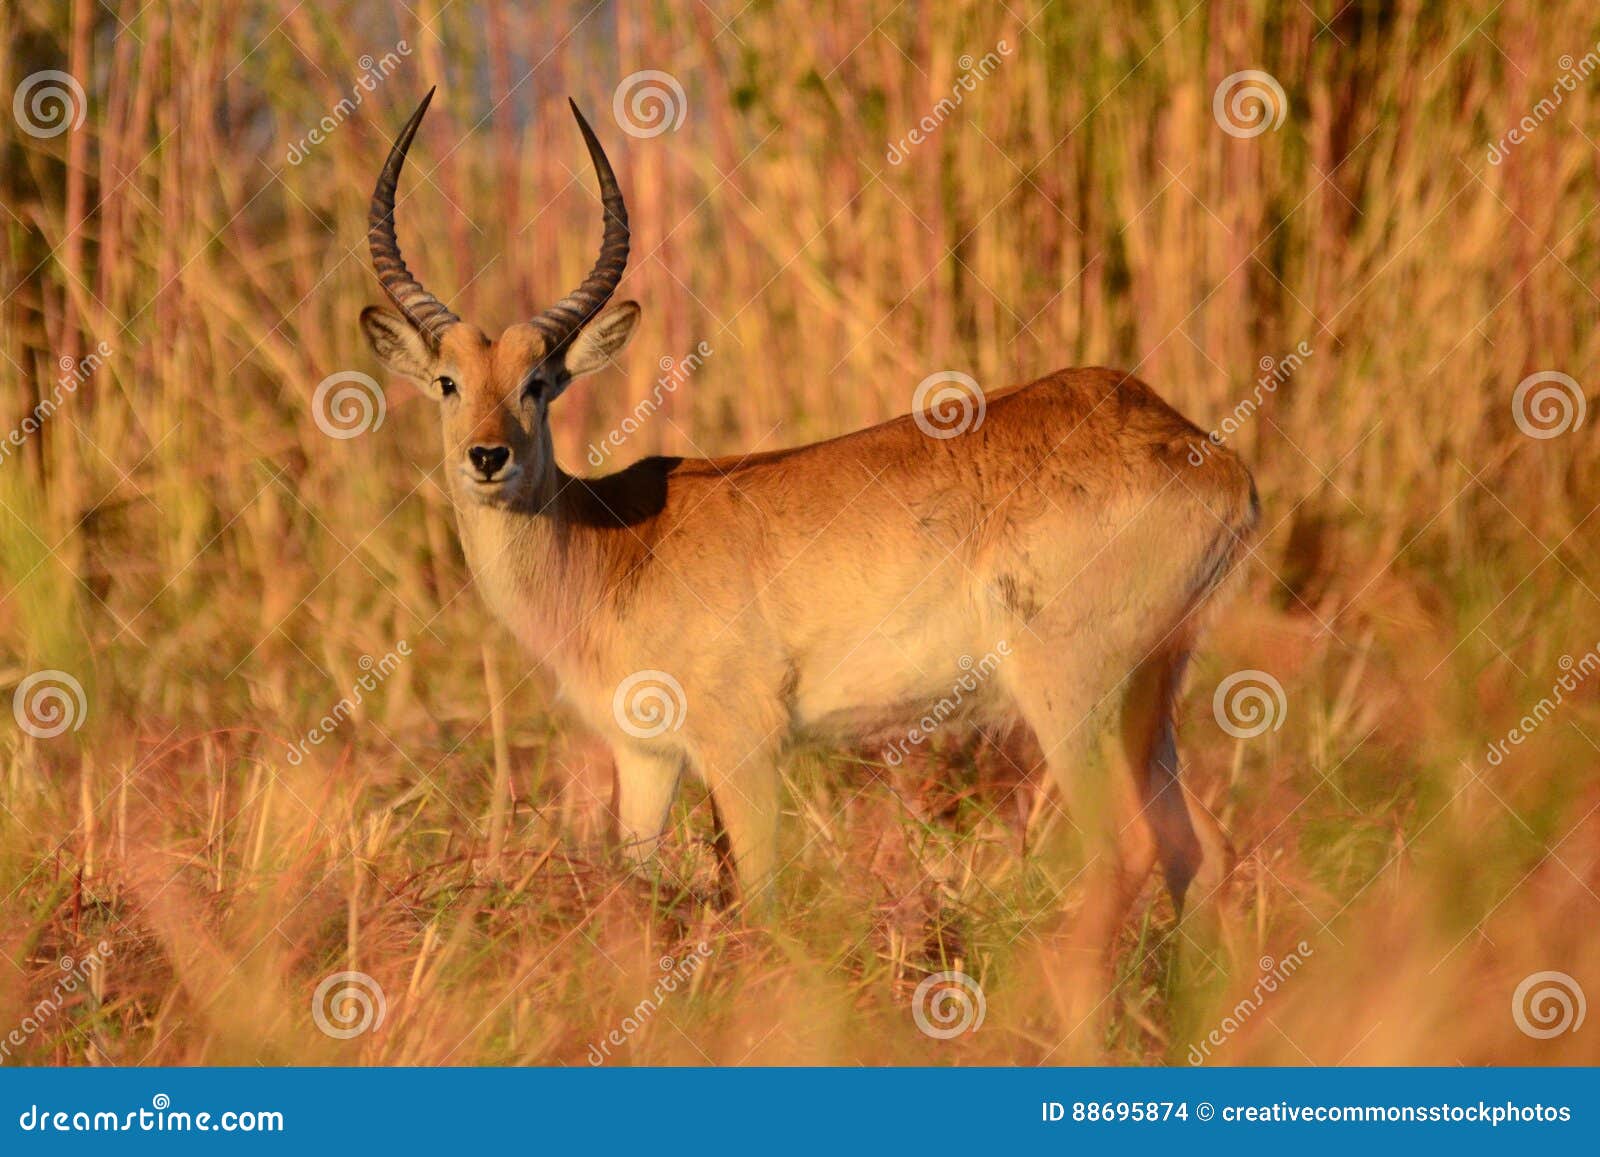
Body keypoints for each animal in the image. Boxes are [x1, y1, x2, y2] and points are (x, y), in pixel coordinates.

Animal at [359, 89, 1258, 964]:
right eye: (447, 380)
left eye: (539, 381)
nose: (488, 456)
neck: (615, 547)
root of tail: (1208, 454)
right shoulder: (645, 754)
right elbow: (636, 885)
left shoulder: (743, 744)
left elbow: (760, 898)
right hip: (1147, 698)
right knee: (1204, 853)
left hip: (1069, 691)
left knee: (1128, 849)